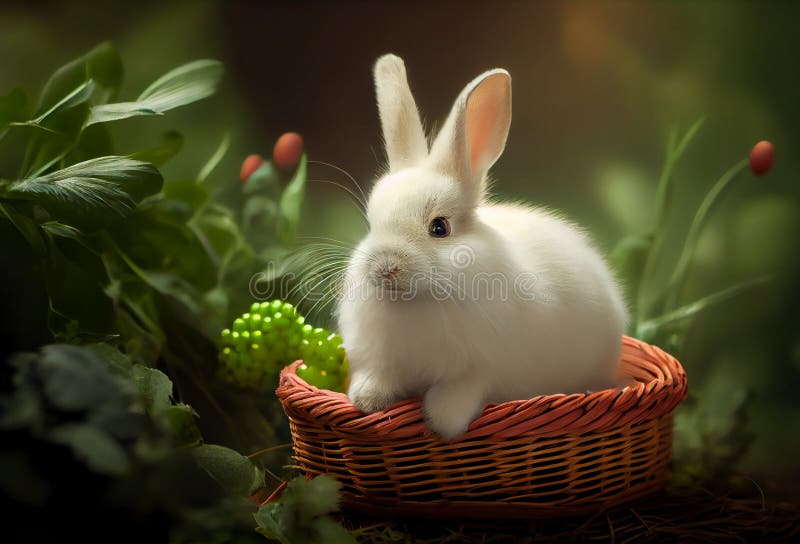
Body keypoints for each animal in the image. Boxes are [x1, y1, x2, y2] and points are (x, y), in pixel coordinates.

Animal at [336, 54, 627, 440]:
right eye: (371, 225)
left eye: (439, 228)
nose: (385, 267)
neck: (417, 304)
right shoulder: (378, 360)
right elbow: (376, 379)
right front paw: (366, 401)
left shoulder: (479, 371)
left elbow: (459, 393)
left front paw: (443, 424)